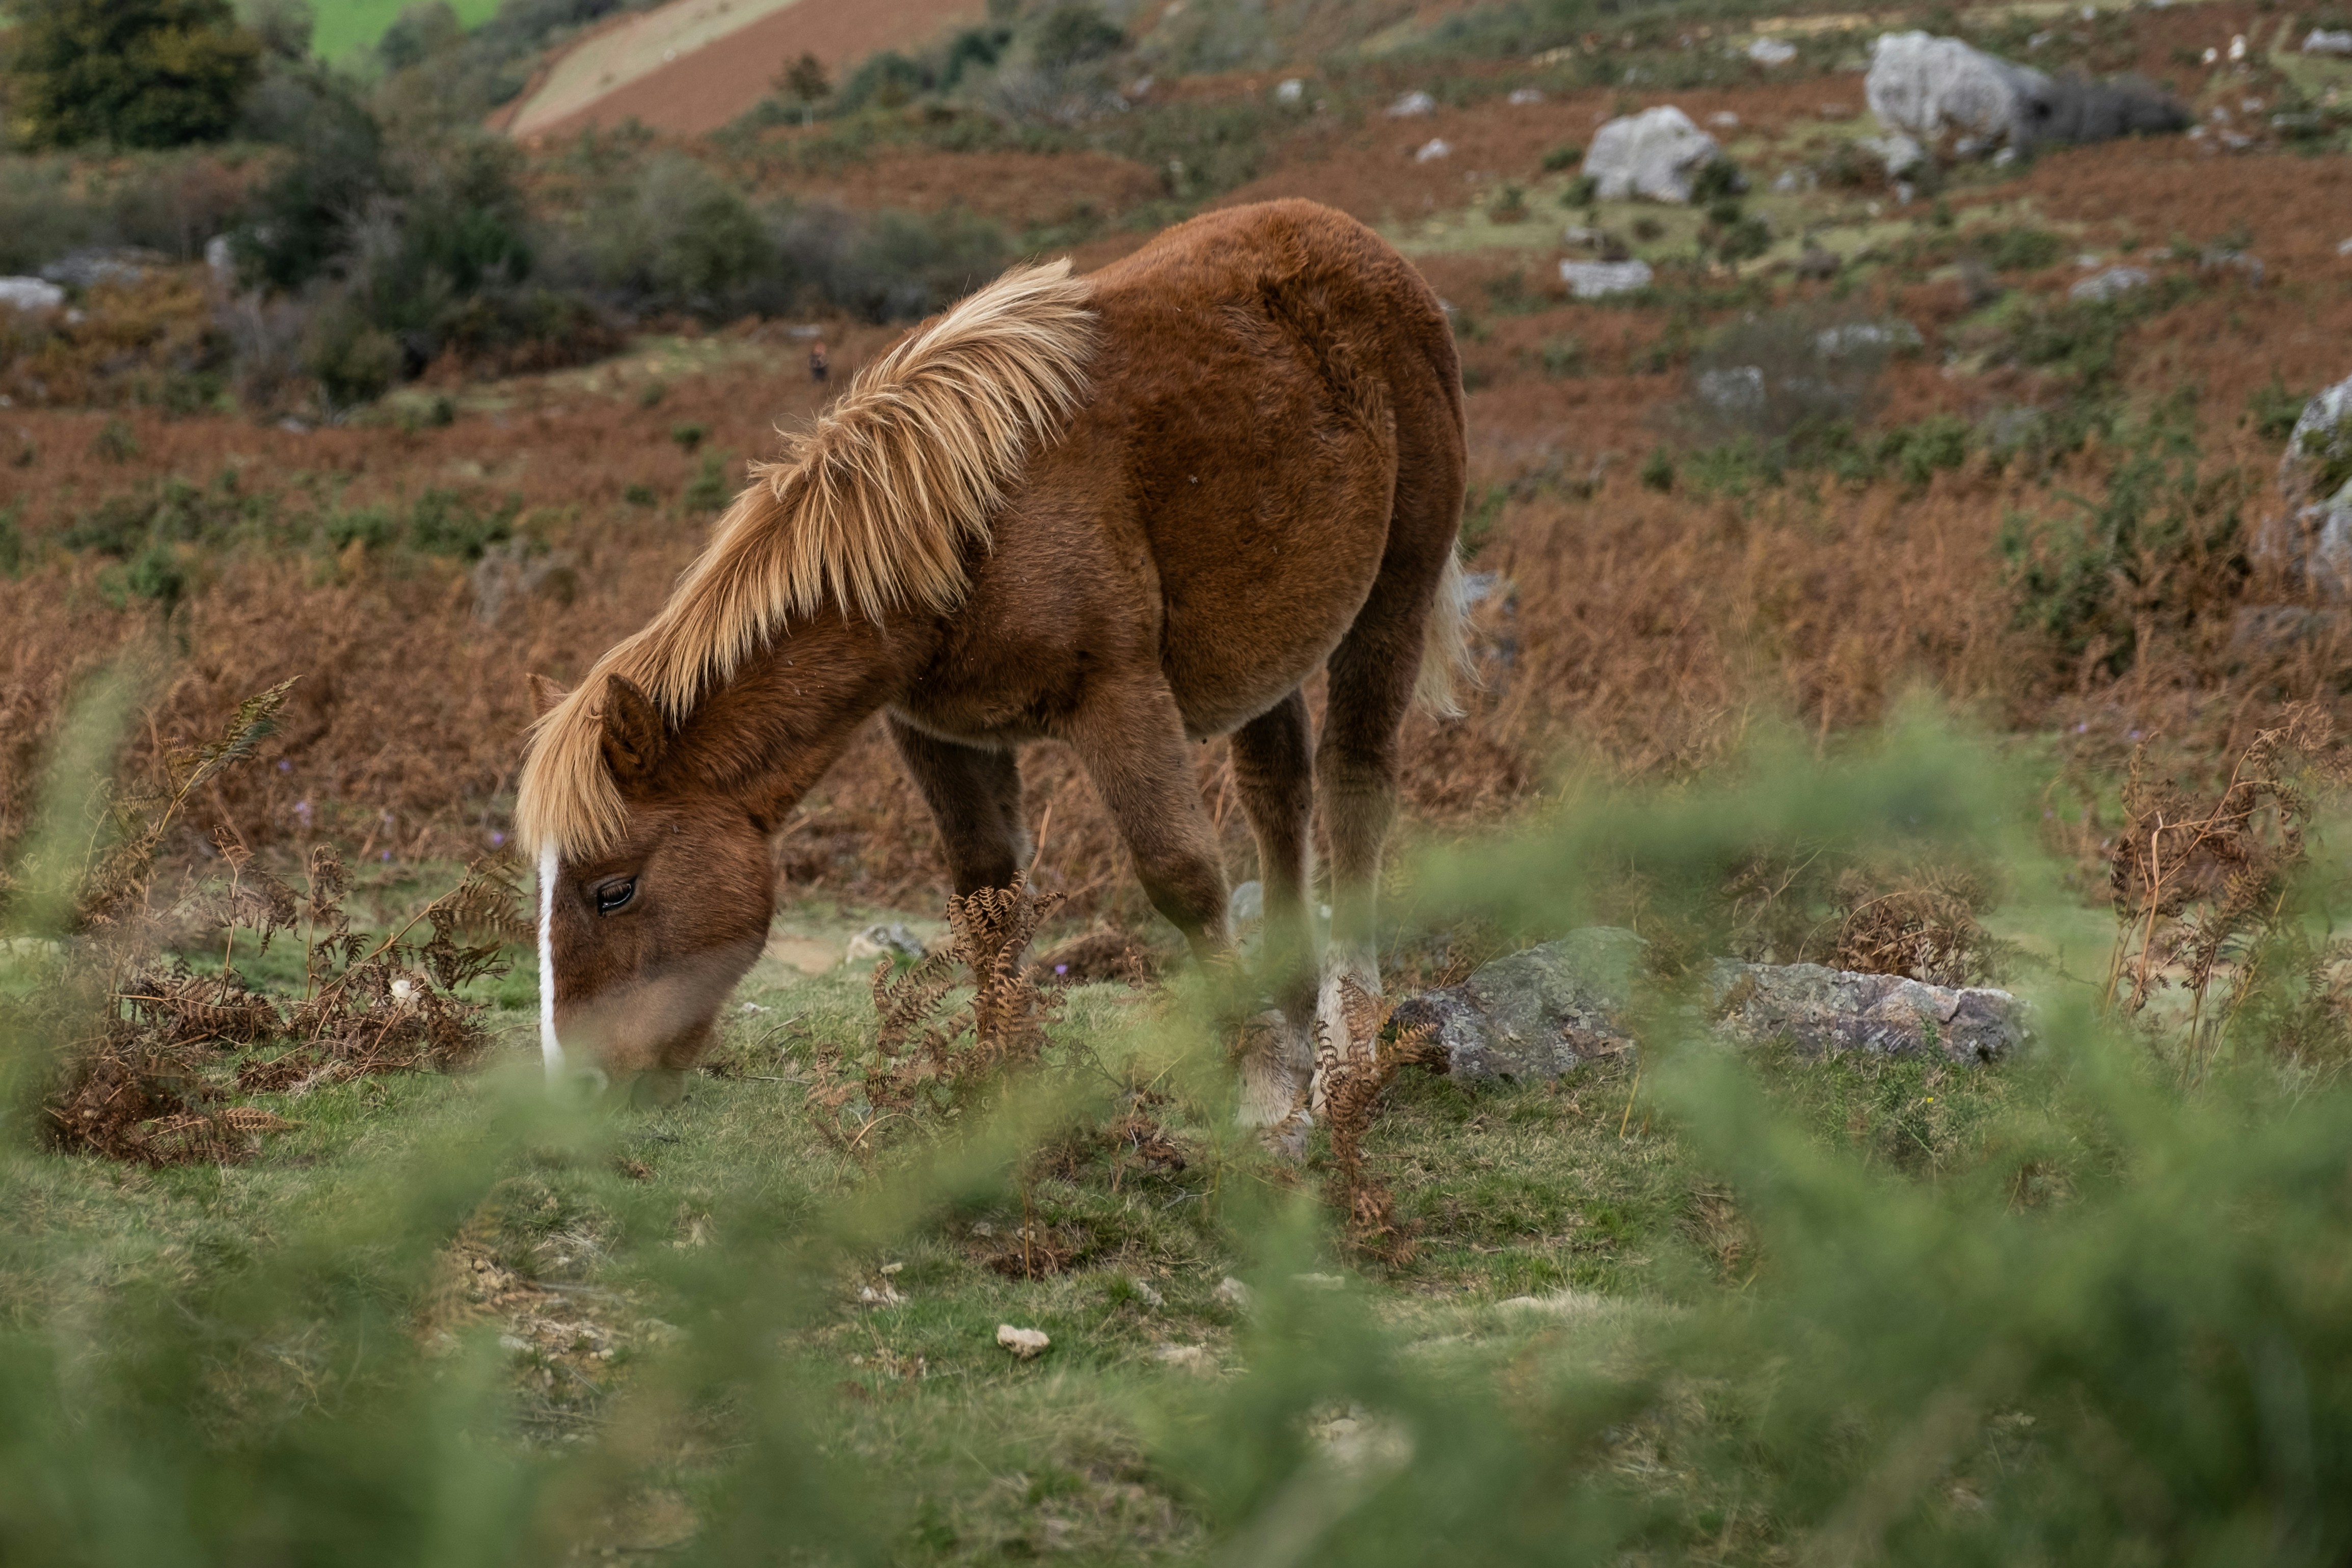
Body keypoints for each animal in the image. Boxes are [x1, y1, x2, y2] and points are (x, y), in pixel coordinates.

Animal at [516, 198, 1467, 1130]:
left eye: (613, 891)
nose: (575, 1089)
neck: (958, 536)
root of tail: (1366, 248)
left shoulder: (1118, 695)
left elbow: (1182, 875)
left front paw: (1264, 1087)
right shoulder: (942, 737)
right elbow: (988, 899)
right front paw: (1001, 1088)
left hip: (1392, 601)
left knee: (1353, 794)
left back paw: (1343, 1056)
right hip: (1269, 639)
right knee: (1278, 798)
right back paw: (1303, 1018)